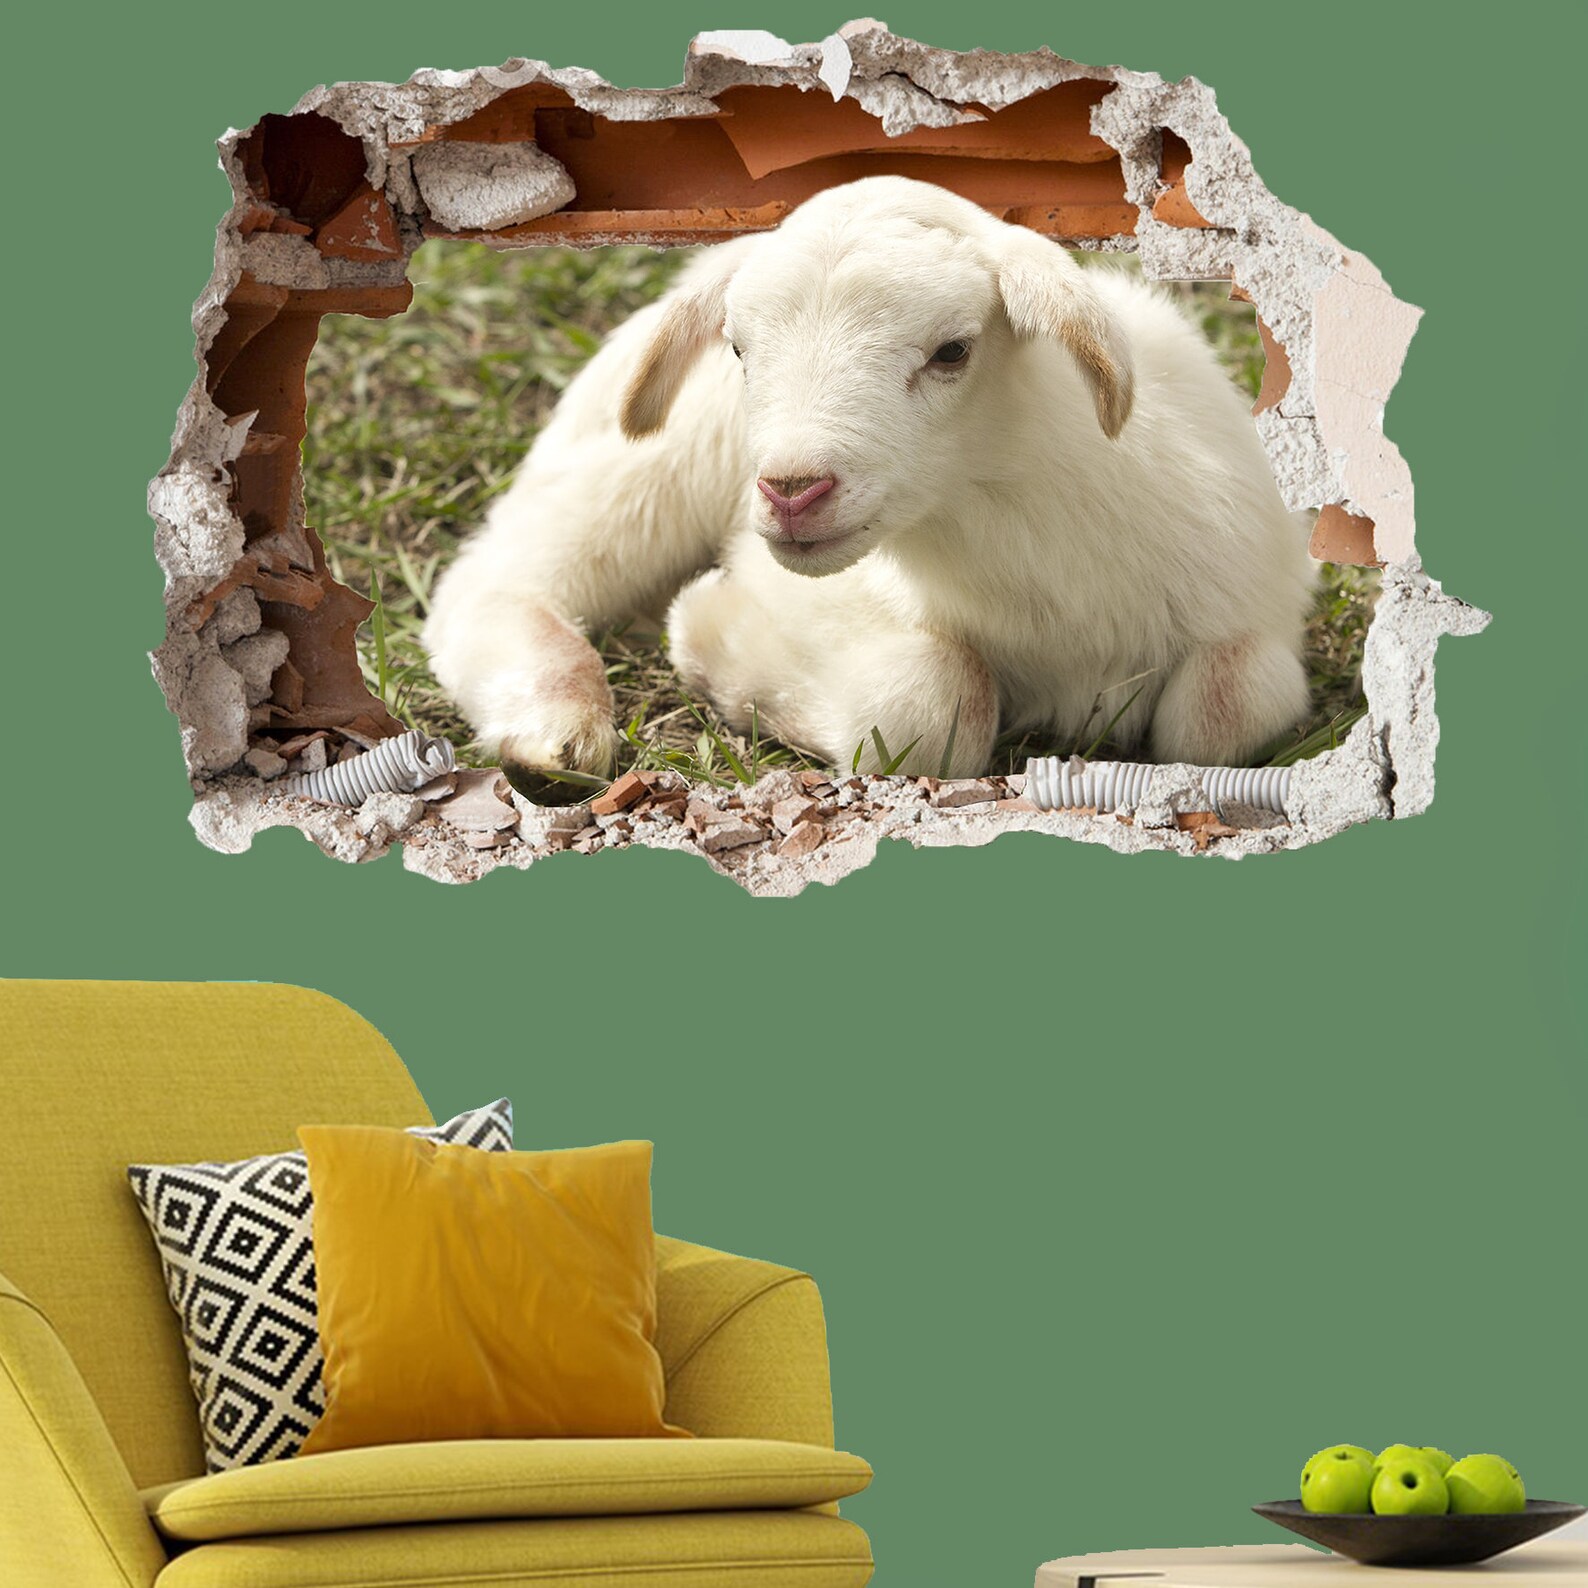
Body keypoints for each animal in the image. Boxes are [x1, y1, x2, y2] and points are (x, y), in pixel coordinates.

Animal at [423, 176, 1315, 785]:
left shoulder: (1248, 608)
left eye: (953, 350)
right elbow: (936, 702)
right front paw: (708, 634)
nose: (791, 490)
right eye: (739, 348)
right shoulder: (807, 597)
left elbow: (1230, 706)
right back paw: (557, 727)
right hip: (640, 471)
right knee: (497, 580)